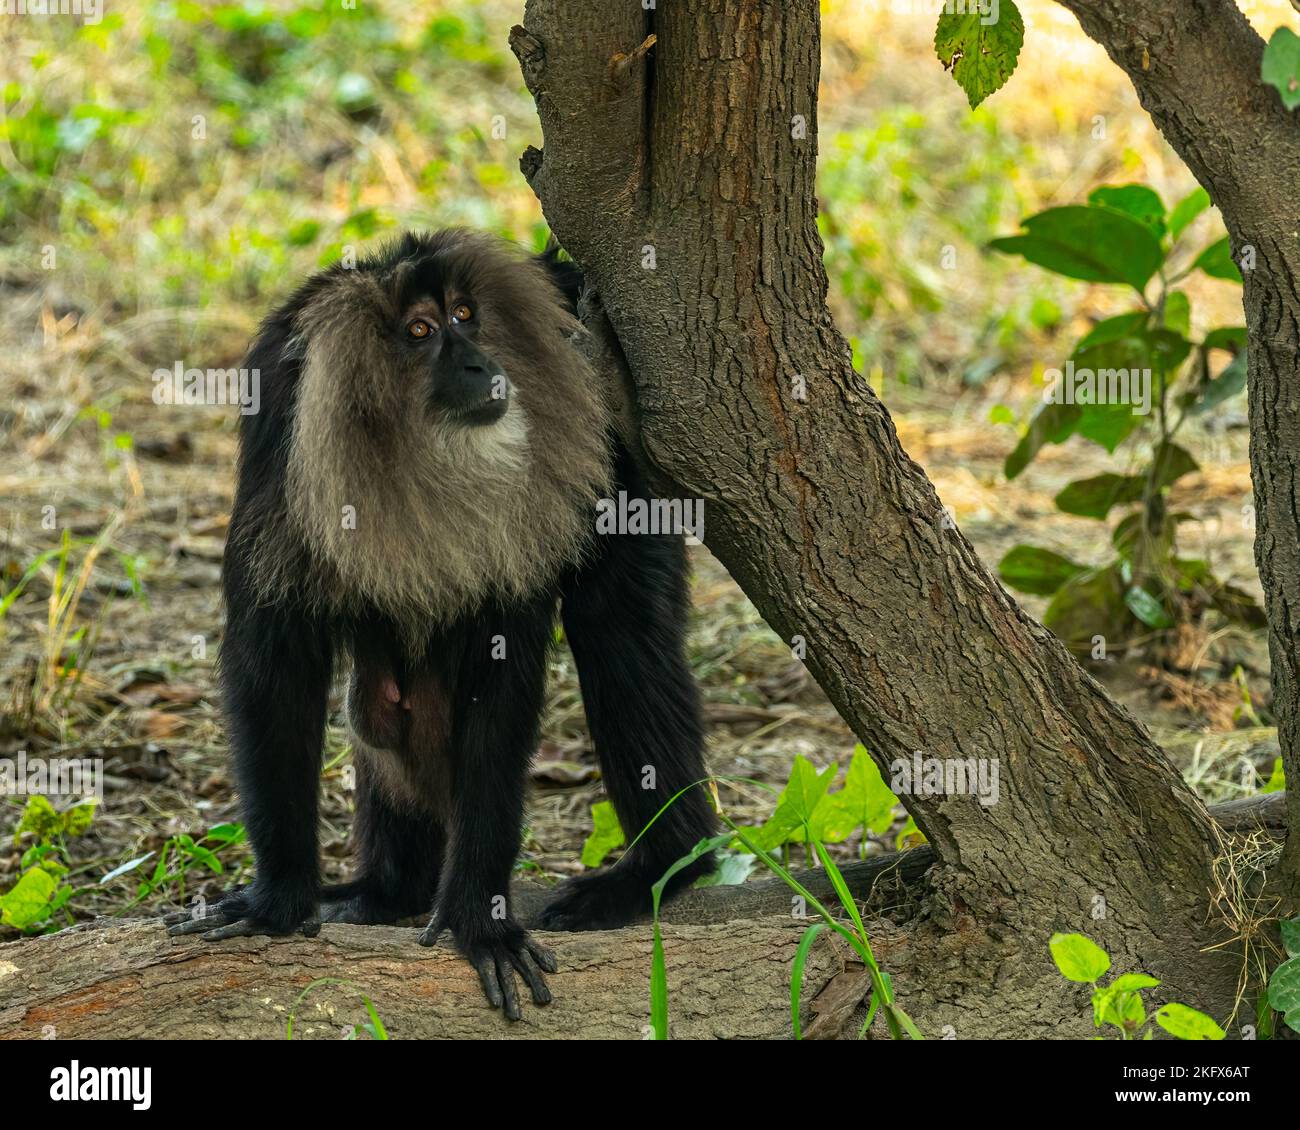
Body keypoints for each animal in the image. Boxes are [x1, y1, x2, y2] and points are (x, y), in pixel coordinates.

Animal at [165, 230, 717, 1020]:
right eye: (422, 331)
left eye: (465, 316)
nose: (481, 364)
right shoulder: (280, 425)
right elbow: (274, 665)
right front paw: (278, 900)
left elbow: (504, 681)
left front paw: (478, 920)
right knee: (384, 710)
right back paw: (387, 890)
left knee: (620, 632)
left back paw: (664, 862)